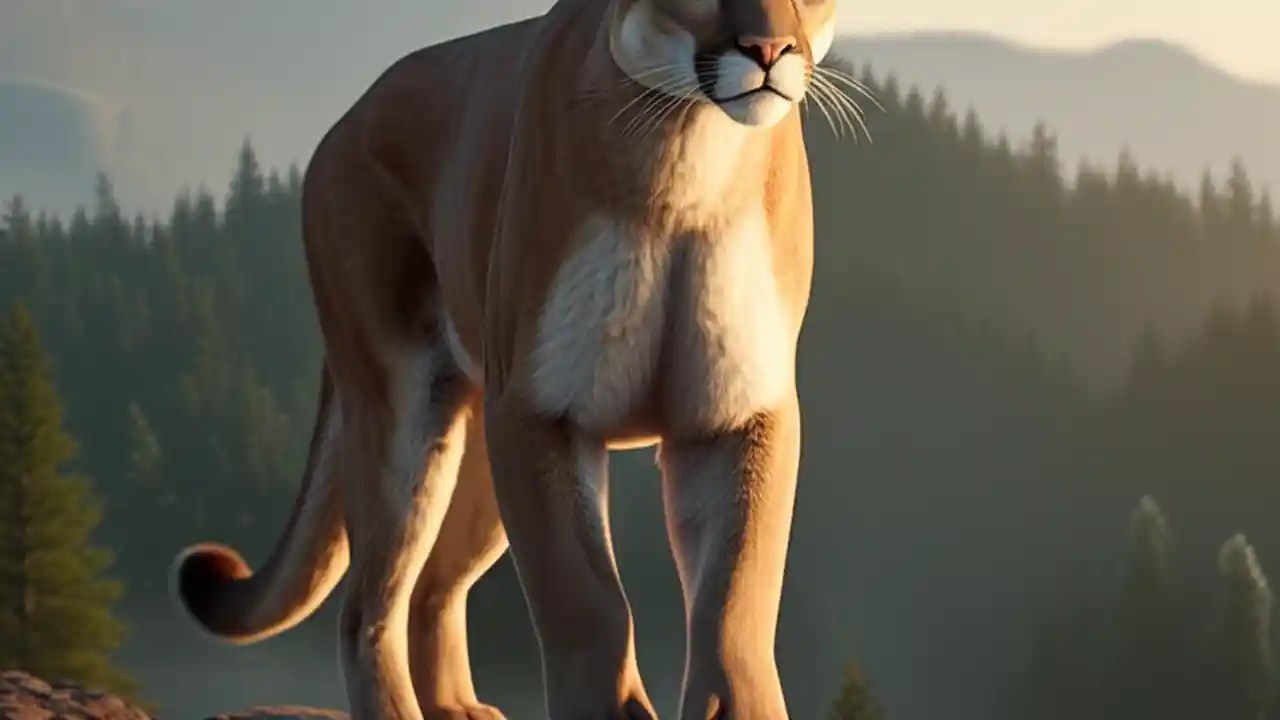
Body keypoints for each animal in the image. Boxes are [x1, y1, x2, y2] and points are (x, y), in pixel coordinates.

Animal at [173, 0, 863, 718]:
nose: (768, 51)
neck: (689, 157)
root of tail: (344, 123)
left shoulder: (735, 412)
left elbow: (735, 604)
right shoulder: (542, 410)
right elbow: (585, 602)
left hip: (480, 453)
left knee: (434, 584)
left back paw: (458, 706)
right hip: (402, 409)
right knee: (367, 601)